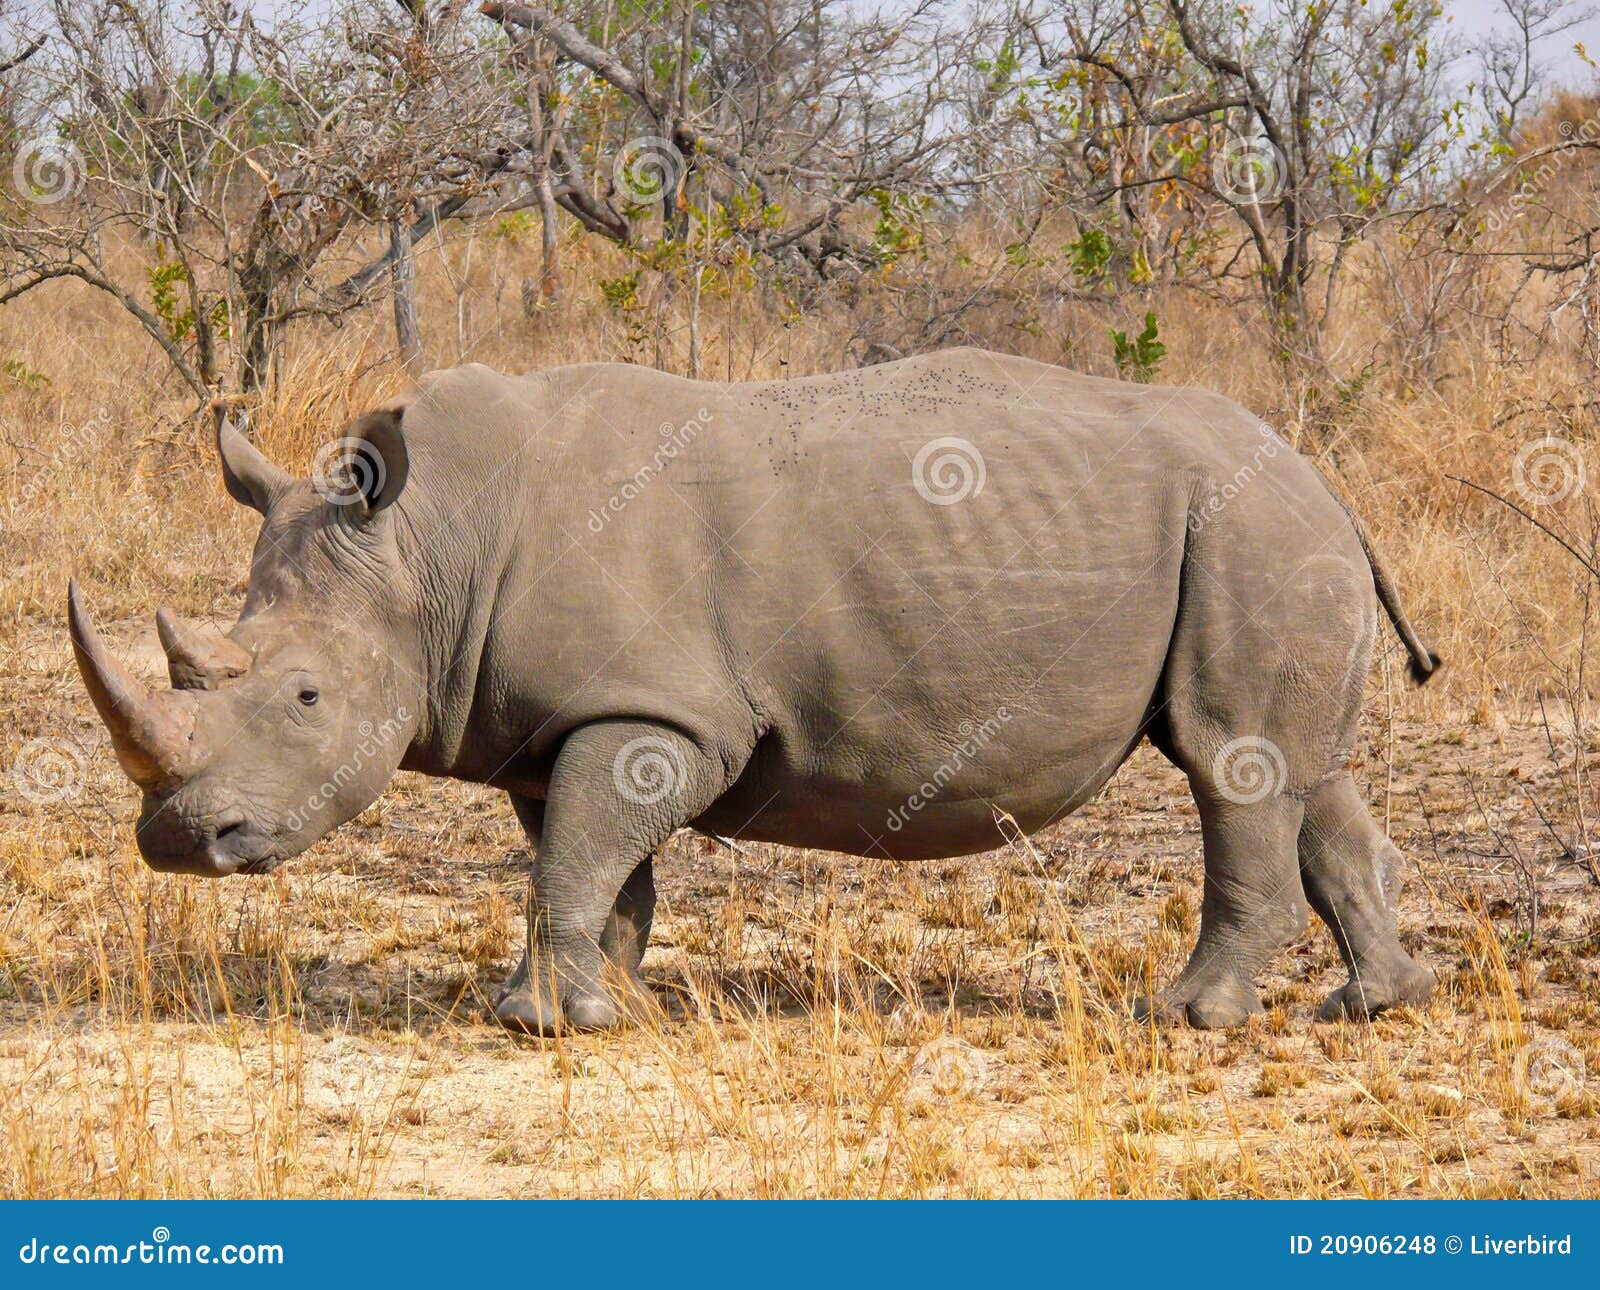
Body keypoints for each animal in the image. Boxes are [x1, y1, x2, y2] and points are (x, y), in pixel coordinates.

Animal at [69, 348, 1439, 1033]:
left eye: (304, 699)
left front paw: (541, 1025)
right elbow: (598, 866)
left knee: (1230, 762)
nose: (180, 841)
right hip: (1264, 532)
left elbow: (574, 856)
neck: (429, 547)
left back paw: (1189, 1020)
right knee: (1300, 772)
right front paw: (608, 1001)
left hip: (1247, 525)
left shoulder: (659, 712)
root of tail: (1323, 477)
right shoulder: (565, 714)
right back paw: (1366, 1006)